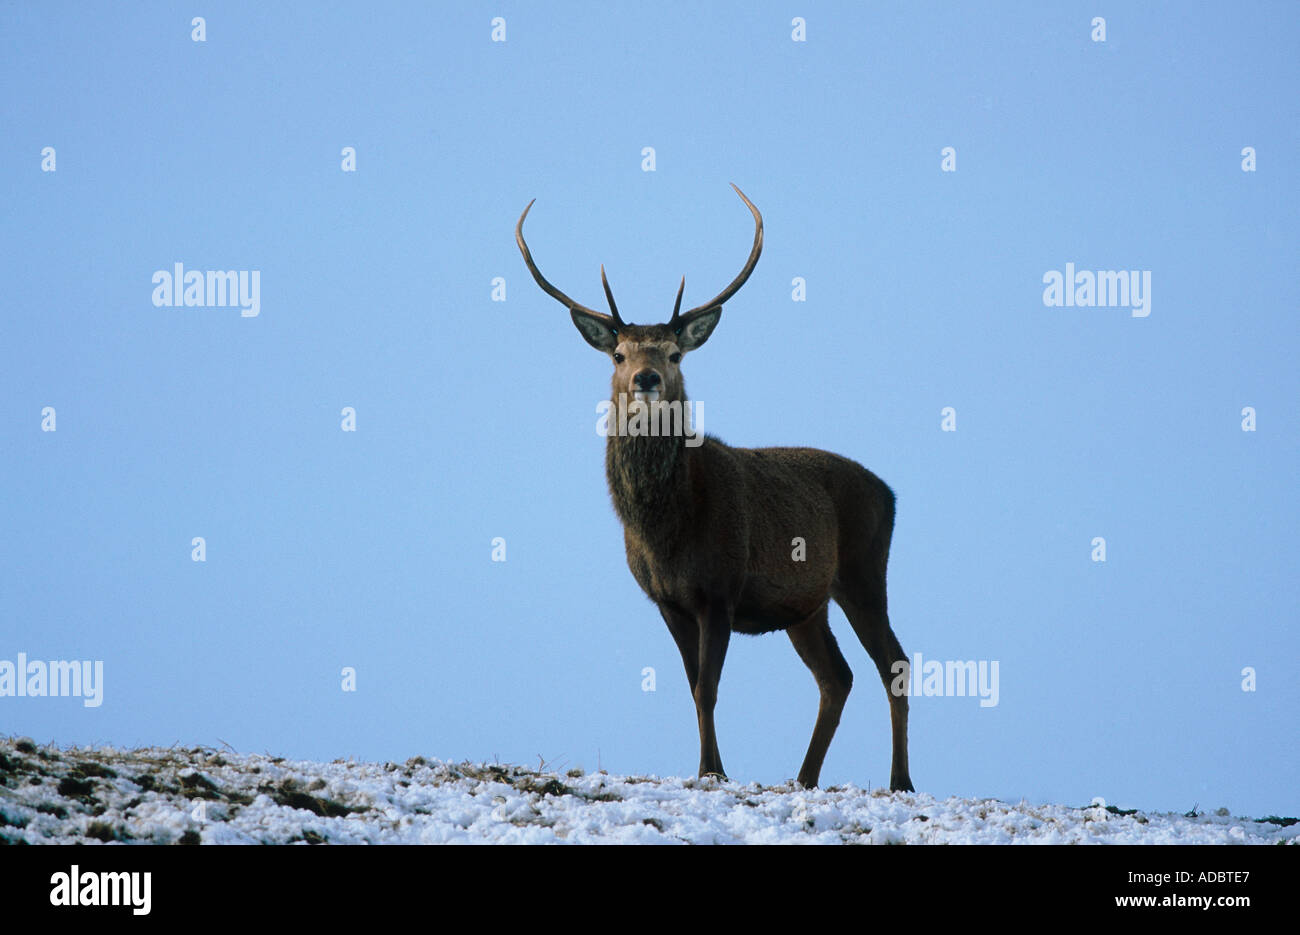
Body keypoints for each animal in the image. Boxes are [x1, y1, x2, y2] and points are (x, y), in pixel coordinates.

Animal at [515, 184, 914, 792]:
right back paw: (804, 777)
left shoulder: (720, 591)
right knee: (837, 676)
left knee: (893, 661)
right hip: (806, 605)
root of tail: (890, 493)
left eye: (674, 353)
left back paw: (901, 781)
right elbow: (691, 686)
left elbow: (708, 687)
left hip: (865, 570)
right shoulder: (666, 601)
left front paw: (712, 771)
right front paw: (709, 766)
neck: (664, 529)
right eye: (619, 353)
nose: (647, 378)